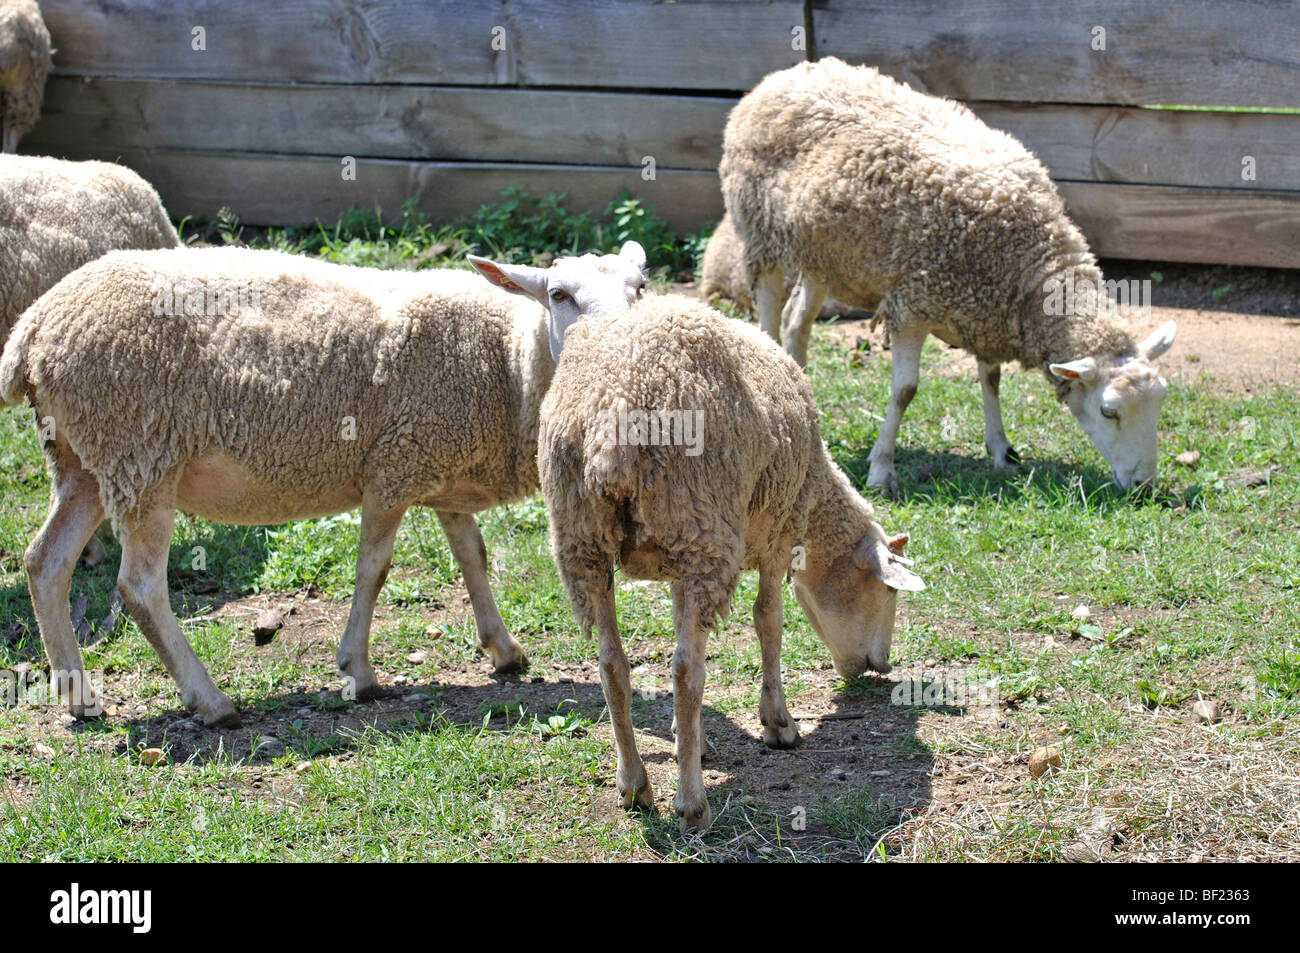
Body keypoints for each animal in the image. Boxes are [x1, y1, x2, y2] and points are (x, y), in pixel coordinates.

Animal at [0, 241, 647, 726]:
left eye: (639, 288)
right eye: (559, 295)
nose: (621, 349)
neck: (506, 361)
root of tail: (32, 329)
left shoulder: (436, 463)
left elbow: (472, 555)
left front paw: (503, 648)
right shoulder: (393, 465)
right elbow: (374, 569)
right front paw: (358, 671)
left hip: (87, 460)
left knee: (44, 562)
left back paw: (79, 696)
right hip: (141, 453)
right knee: (138, 587)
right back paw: (210, 702)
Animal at [538, 294, 925, 831]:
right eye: (887, 591)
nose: (879, 666)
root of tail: (609, 427)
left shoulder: (678, 563)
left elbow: (680, 628)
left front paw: (691, 739)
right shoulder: (782, 530)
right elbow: (769, 621)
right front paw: (778, 723)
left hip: (585, 539)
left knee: (612, 662)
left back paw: (634, 787)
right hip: (701, 523)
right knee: (685, 671)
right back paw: (692, 803)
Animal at [719, 58, 1177, 494]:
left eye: (1160, 403)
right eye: (1108, 411)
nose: (1144, 488)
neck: (1029, 266)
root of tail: (785, 76)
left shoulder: (986, 310)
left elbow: (991, 379)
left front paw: (1001, 451)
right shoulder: (912, 305)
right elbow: (905, 391)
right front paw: (881, 469)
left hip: (824, 254)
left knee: (797, 321)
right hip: (761, 232)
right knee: (771, 316)